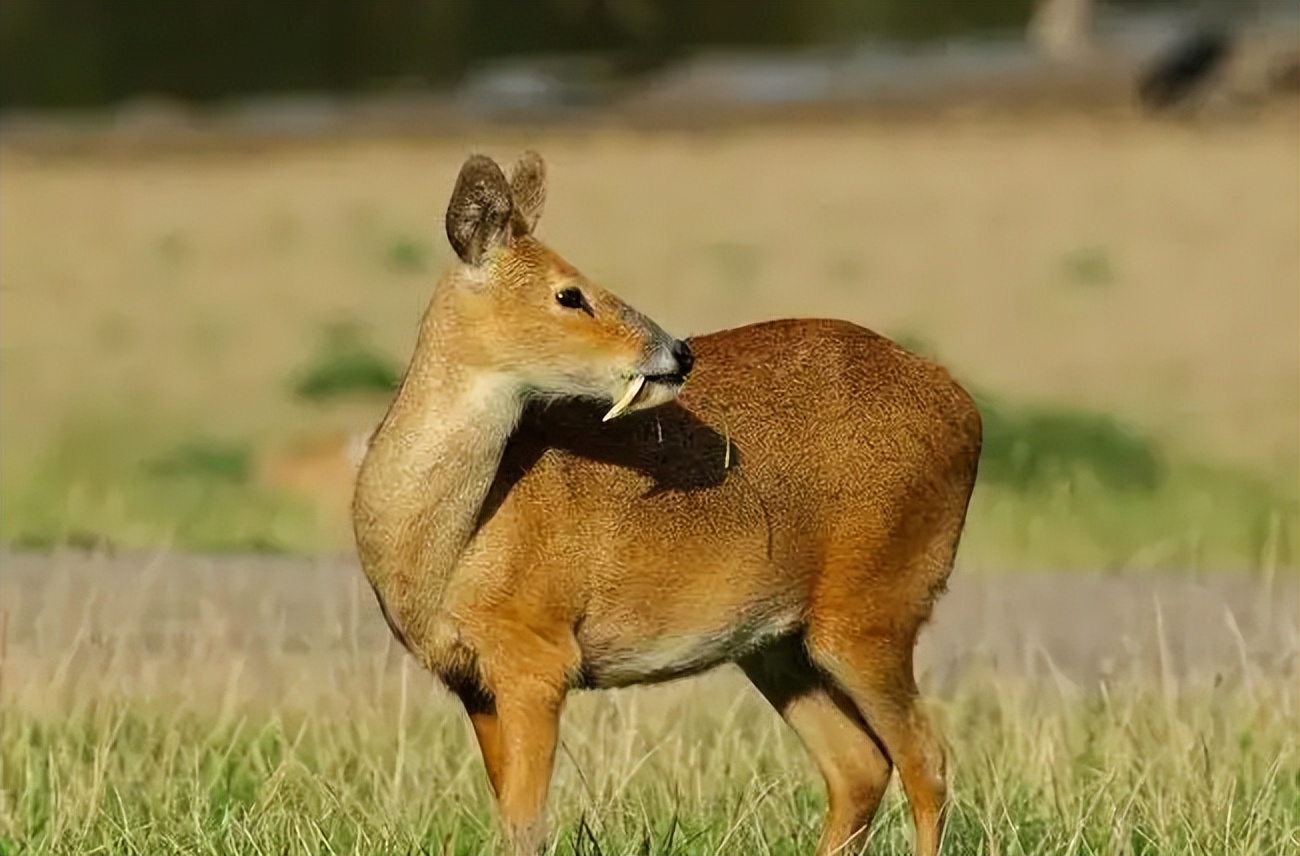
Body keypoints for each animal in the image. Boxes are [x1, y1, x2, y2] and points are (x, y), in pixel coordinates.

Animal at [351, 150, 983, 856]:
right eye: (569, 293)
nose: (676, 351)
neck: (450, 541)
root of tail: (965, 408)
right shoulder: (472, 681)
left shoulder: (537, 657)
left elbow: (525, 826)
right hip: (778, 644)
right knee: (860, 766)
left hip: (874, 610)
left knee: (927, 760)